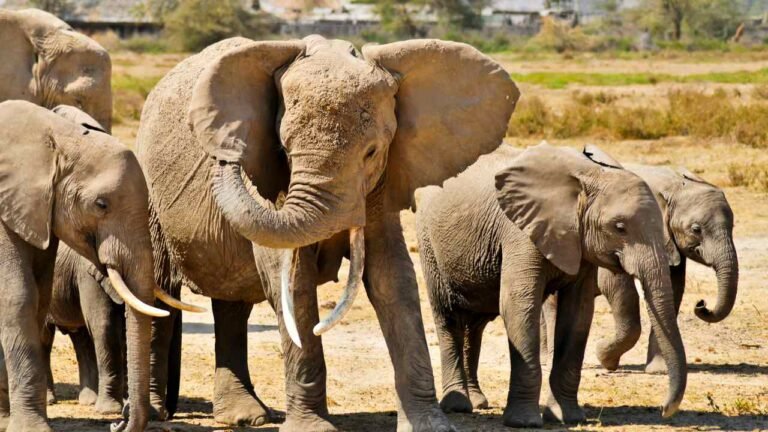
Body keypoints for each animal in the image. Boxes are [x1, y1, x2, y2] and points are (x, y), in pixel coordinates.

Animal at [0, 101, 188, 432]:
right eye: (101, 205)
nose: (119, 424)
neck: (59, 138)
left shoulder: (37, 211)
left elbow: (39, 298)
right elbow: (19, 297)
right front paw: (32, 428)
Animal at [136, 35, 518, 431]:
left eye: (372, 152)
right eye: (284, 149)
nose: (227, 152)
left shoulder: (384, 181)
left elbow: (392, 276)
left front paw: (429, 426)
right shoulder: (274, 189)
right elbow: (292, 278)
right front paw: (312, 428)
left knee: (232, 306)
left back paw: (247, 417)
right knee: (161, 291)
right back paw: (158, 412)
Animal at [415, 143, 687, 427]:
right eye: (620, 227)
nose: (664, 409)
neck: (590, 175)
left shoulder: (579, 242)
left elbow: (578, 314)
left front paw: (568, 418)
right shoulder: (520, 233)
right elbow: (518, 305)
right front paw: (524, 422)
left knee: (475, 324)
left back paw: (478, 402)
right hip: (429, 246)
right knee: (449, 318)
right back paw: (457, 406)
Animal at [591, 164, 738, 373]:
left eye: (733, 226)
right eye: (696, 229)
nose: (701, 304)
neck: (673, 185)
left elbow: (674, 289)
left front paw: (660, 370)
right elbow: (616, 285)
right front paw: (605, 358)